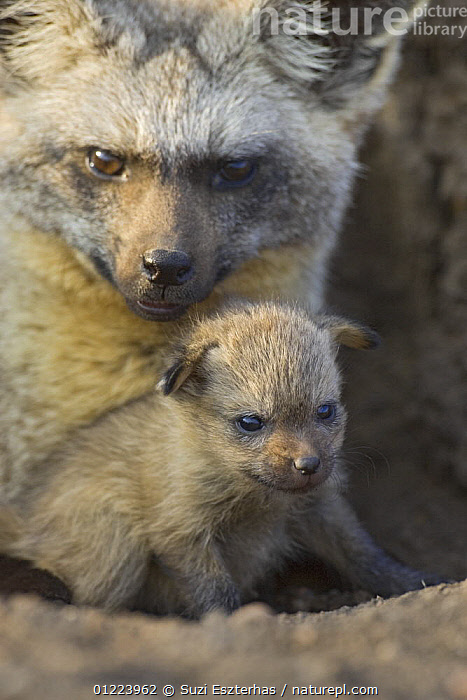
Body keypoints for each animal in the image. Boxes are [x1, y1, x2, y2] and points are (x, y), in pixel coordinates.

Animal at [2, 302, 442, 616]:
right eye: (250, 422)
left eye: (325, 411)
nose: (309, 466)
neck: (255, 498)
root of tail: (23, 513)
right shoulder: (181, 532)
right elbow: (215, 591)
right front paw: (236, 624)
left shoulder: (321, 509)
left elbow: (364, 555)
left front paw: (412, 582)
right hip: (116, 543)